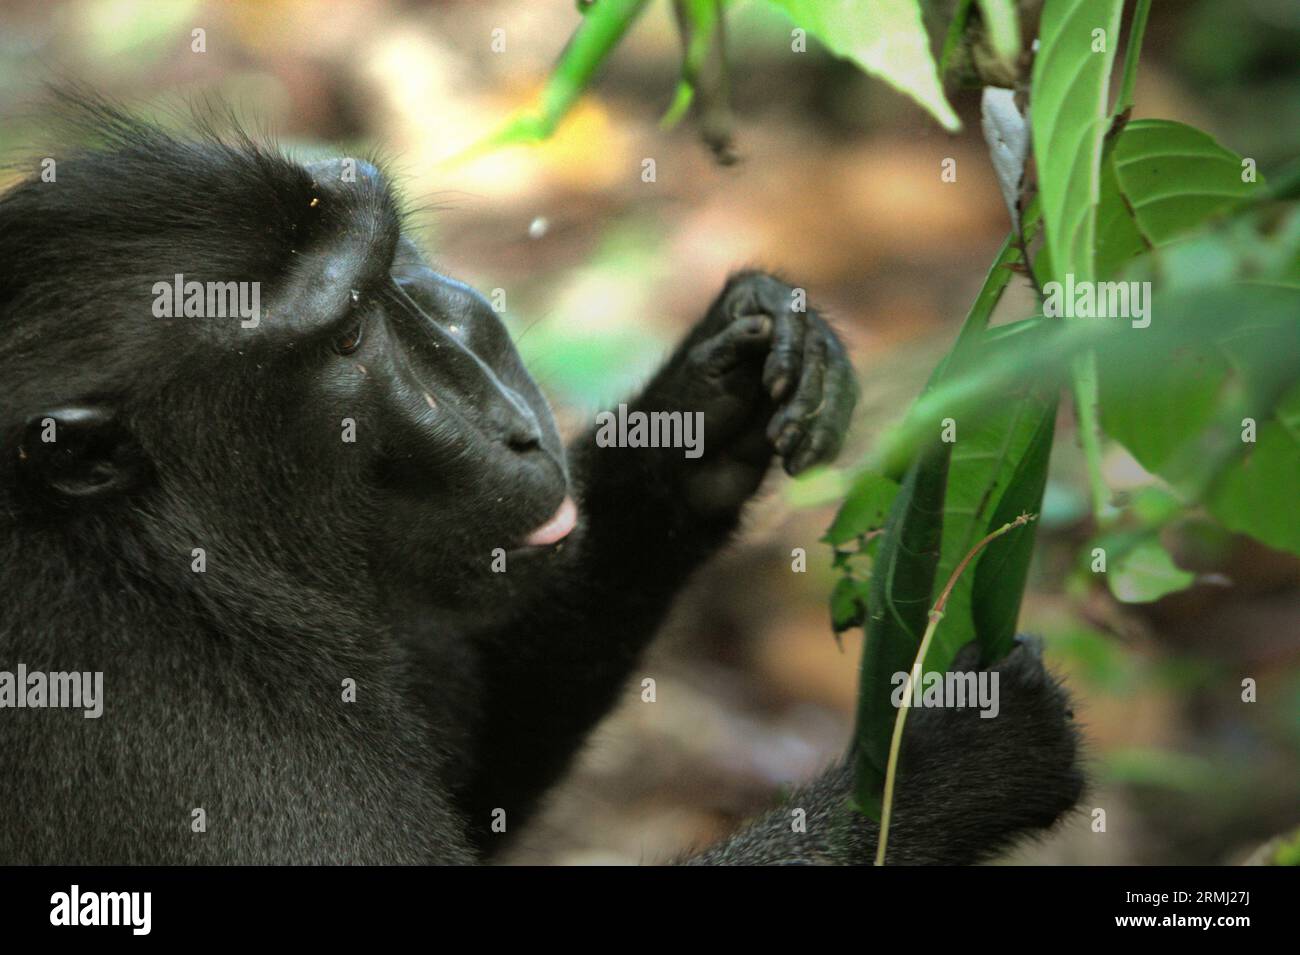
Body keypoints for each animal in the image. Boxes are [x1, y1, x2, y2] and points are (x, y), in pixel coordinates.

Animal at [0, 97, 1082, 864]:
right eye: (347, 340)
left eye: (391, 266)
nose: (507, 411)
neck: (151, 564)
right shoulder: (219, 761)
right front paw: (939, 770)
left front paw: (710, 396)